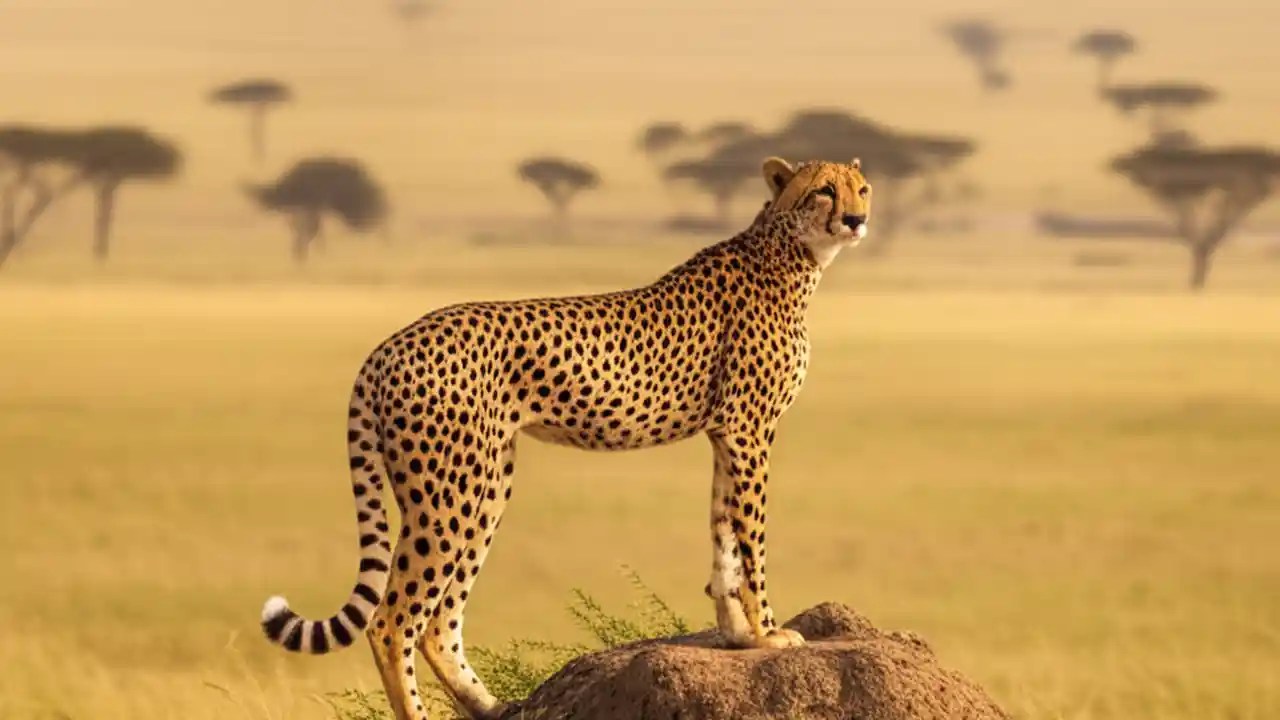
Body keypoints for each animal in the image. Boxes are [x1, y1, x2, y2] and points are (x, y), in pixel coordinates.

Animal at [260, 156, 872, 720]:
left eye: (861, 188)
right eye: (824, 190)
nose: (858, 219)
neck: (789, 251)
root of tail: (390, 344)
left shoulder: (728, 434)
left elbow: (725, 539)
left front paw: (741, 634)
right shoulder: (749, 429)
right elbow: (752, 541)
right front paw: (768, 631)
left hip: (484, 486)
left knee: (438, 620)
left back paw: (492, 705)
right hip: (448, 493)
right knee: (392, 622)